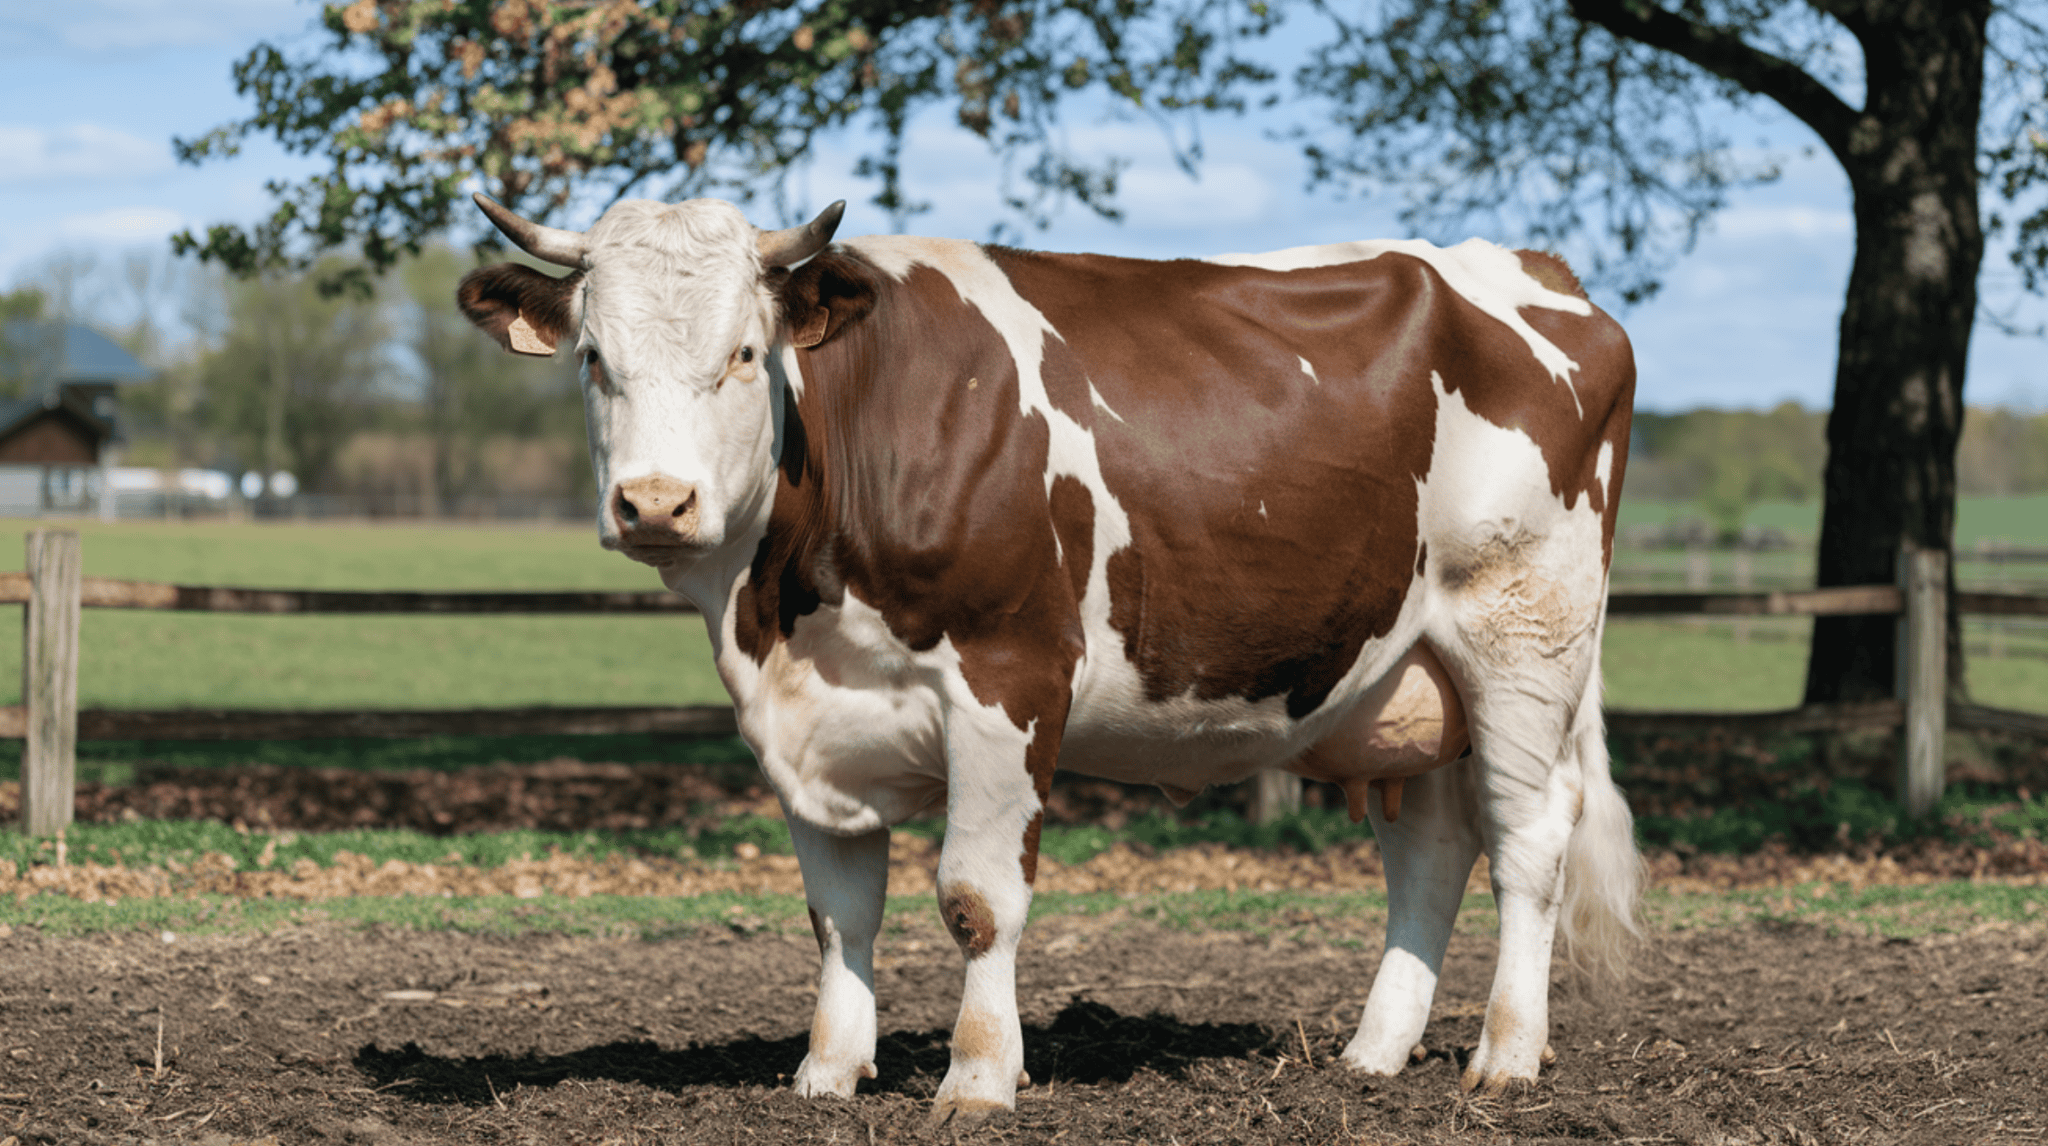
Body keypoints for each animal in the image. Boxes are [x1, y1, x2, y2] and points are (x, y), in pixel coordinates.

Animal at [457, 192, 1641, 1123]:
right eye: (595, 362)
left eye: (743, 356)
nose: (655, 503)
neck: (789, 606)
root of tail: (1536, 272)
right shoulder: (805, 724)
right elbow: (839, 911)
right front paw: (827, 1074)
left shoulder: (1009, 678)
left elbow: (977, 898)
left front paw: (978, 1081)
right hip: (1404, 678)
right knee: (1432, 848)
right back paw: (1372, 1056)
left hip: (1522, 633)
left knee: (1528, 837)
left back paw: (1503, 1059)